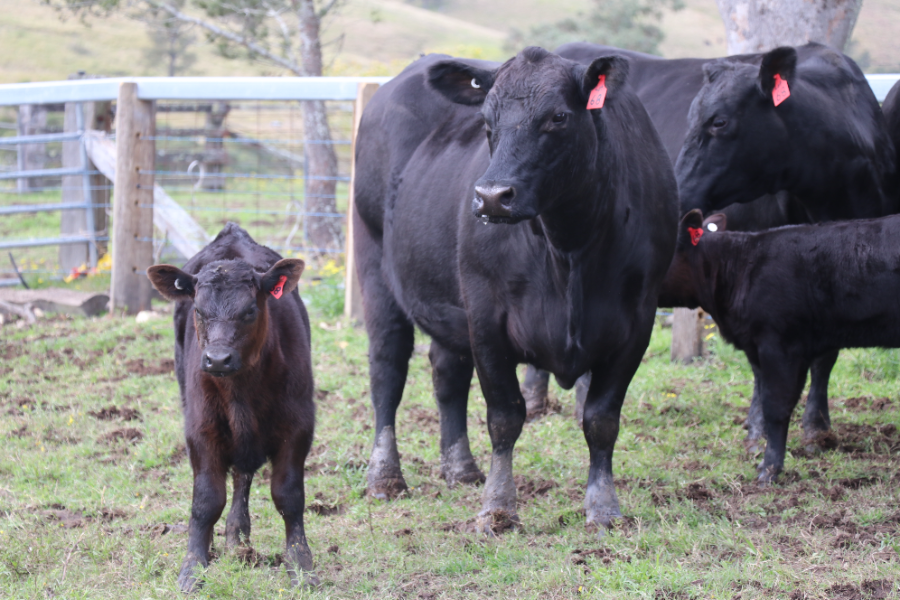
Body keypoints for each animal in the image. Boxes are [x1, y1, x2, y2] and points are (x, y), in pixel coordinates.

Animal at [147, 223, 317, 592]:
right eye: (198, 310)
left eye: (249, 311)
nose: (218, 359)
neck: (241, 392)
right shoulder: (200, 428)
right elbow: (207, 500)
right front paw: (194, 564)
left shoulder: (299, 425)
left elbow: (289, 496)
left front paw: (300, 563)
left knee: (243, 475)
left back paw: (238, 535)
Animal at [353, 47, 678, 531]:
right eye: (487, 121)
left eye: (559, 117)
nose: (491, 196)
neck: (570, 245)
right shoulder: (487, 315)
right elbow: (505, 416)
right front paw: (498, 506)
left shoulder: (637, 320)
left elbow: (601, 419)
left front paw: (603, 506)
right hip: (376, 271)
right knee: (387, 373)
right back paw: (385, 477)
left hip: (448, 299)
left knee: (447, 372)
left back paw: (460, 468)